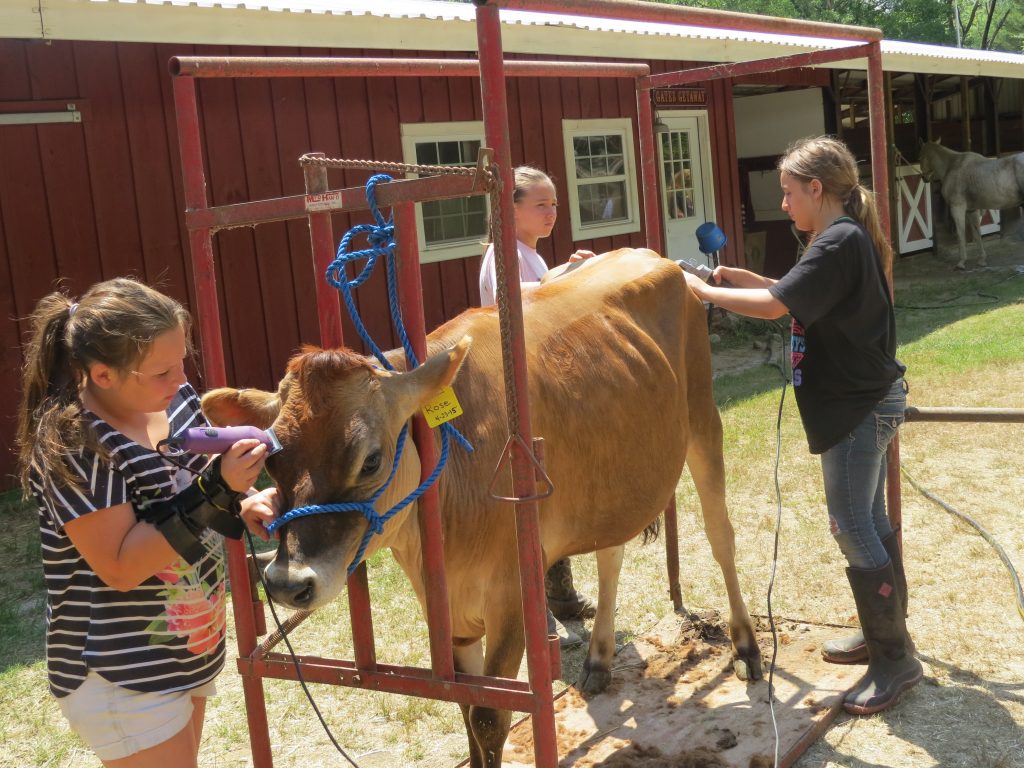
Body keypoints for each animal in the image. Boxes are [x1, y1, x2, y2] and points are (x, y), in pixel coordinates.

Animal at [203, 248, 762, 767]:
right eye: (271, 459)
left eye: (371, 460)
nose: (286, 583)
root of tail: (649, 254)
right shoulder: (444, 604)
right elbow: (467, 708)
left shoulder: (512, 593)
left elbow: (492, 715)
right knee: (611, 554)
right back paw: (599, 661)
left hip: (703, 418)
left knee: (721, 536)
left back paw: (747, 649)